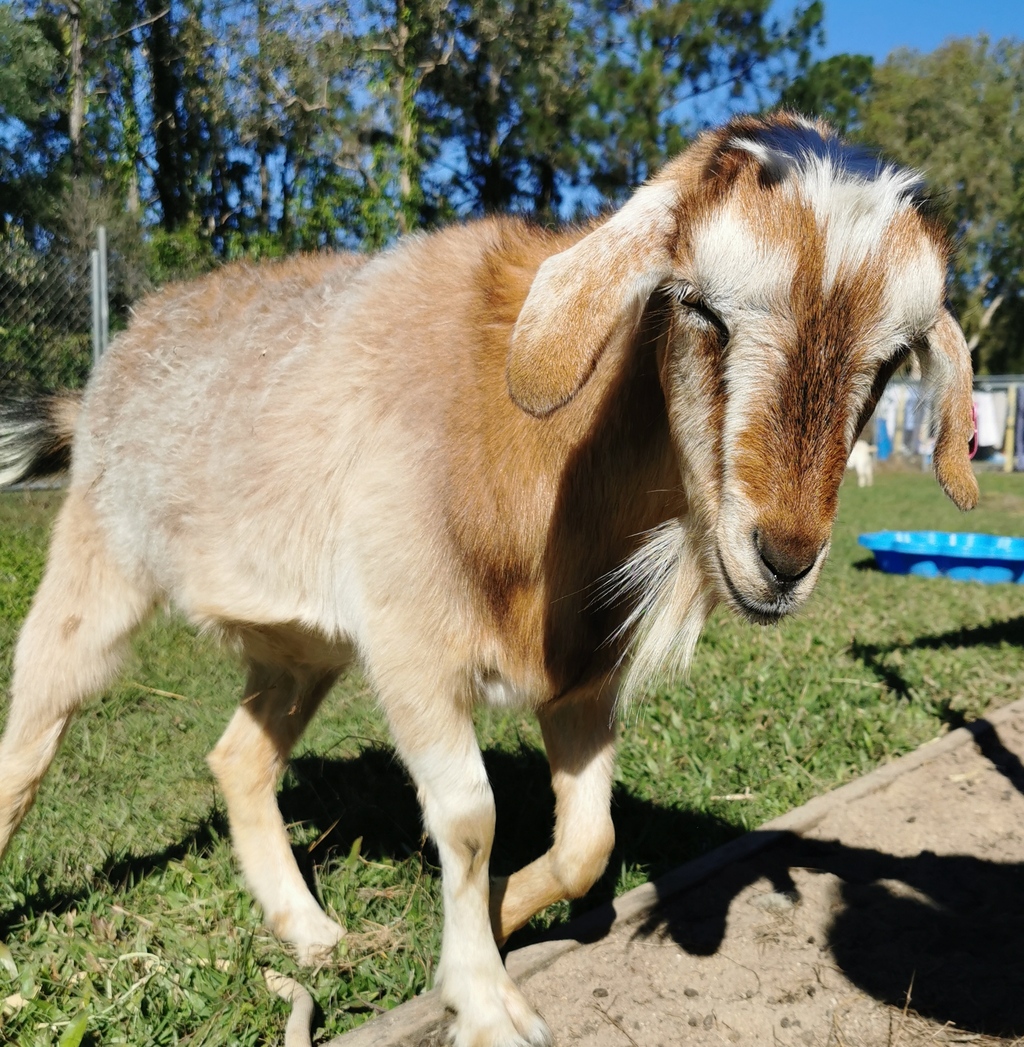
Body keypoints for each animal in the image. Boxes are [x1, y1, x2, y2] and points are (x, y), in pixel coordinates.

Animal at [0, 114, 977, 1047]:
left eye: (894, 356)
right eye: (701, 307)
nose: (782, 558)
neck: (533, 461)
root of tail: (111, 368)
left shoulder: (583, 680)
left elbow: (589, 841)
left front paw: (500, 919)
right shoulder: (411, 646)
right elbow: (470, 819)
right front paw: (483, 1000)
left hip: (301, 650)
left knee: (239, 758)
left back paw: (309, 930)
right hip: (98, 562)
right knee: (35, 725)